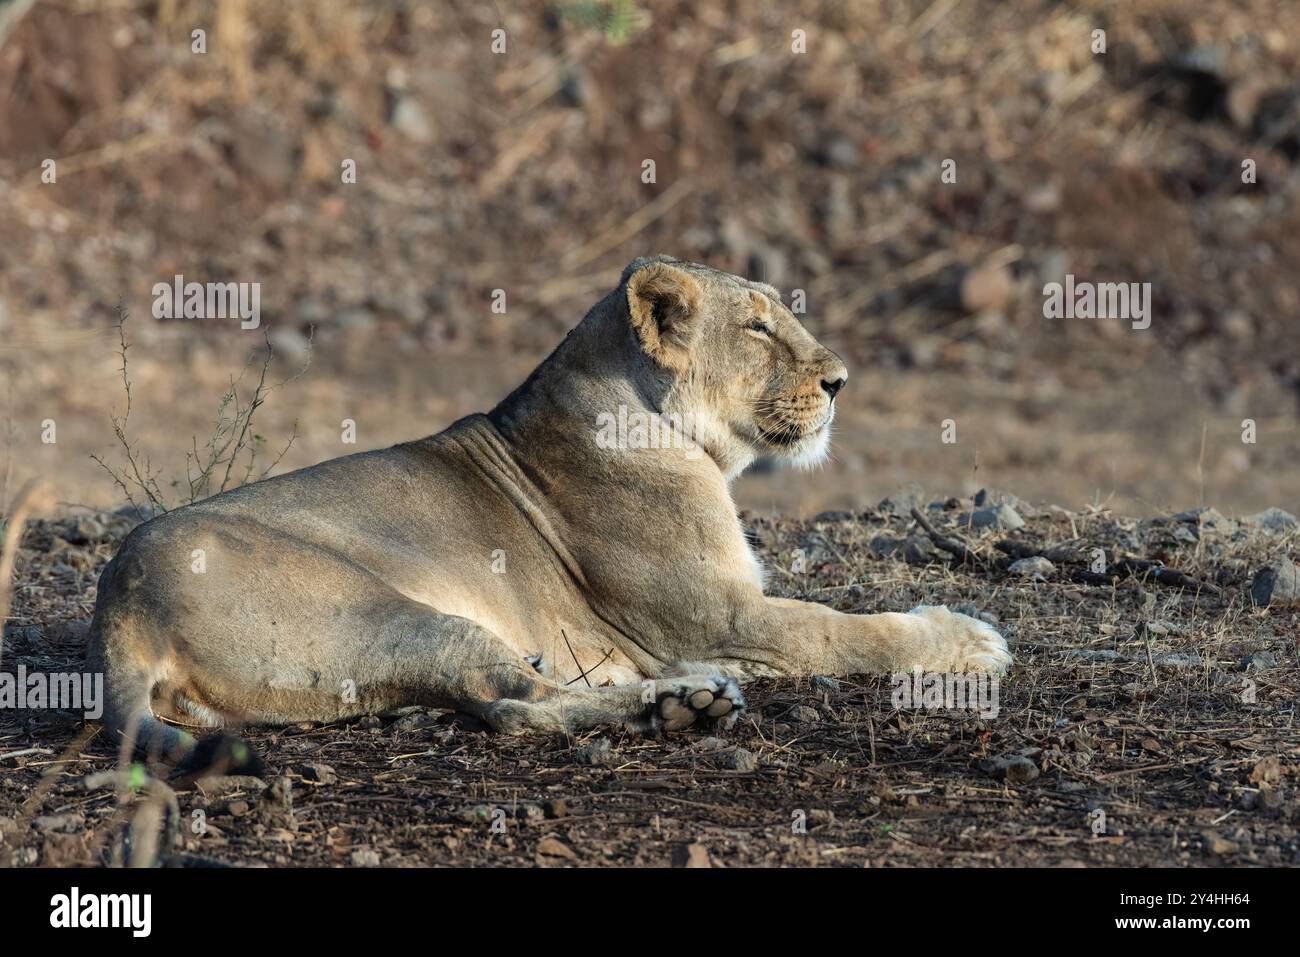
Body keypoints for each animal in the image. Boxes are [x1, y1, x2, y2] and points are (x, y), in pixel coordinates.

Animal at [87, 255, 1010, 759]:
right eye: (755, 328)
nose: (842, 381)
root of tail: (118, 610)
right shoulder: (720, 618)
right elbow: (848, 629)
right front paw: (969, 638)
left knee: (499, 700)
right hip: (383, 612)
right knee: (510, 704)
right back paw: (681, 702)